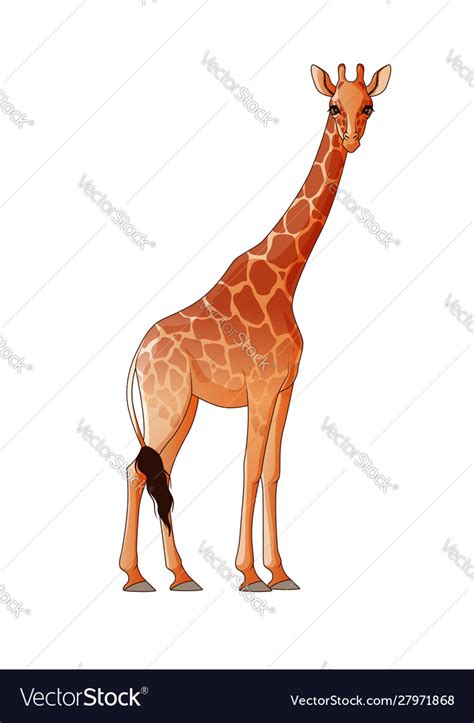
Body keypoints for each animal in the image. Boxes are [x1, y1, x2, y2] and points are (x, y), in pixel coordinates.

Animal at [119, 62, 391, 592]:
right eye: (333, 106)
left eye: (368, 106)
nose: (351, 139)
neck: (286, 278)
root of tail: (135, 358)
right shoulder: (261, 388)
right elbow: (248, 469)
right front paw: (248, 574)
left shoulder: (286, 388)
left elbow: (272, 471)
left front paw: (280, 572)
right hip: (167, 407)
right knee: (137, 472)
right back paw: (141, 577)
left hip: (183, 410)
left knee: (156, 472)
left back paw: (176, 576)